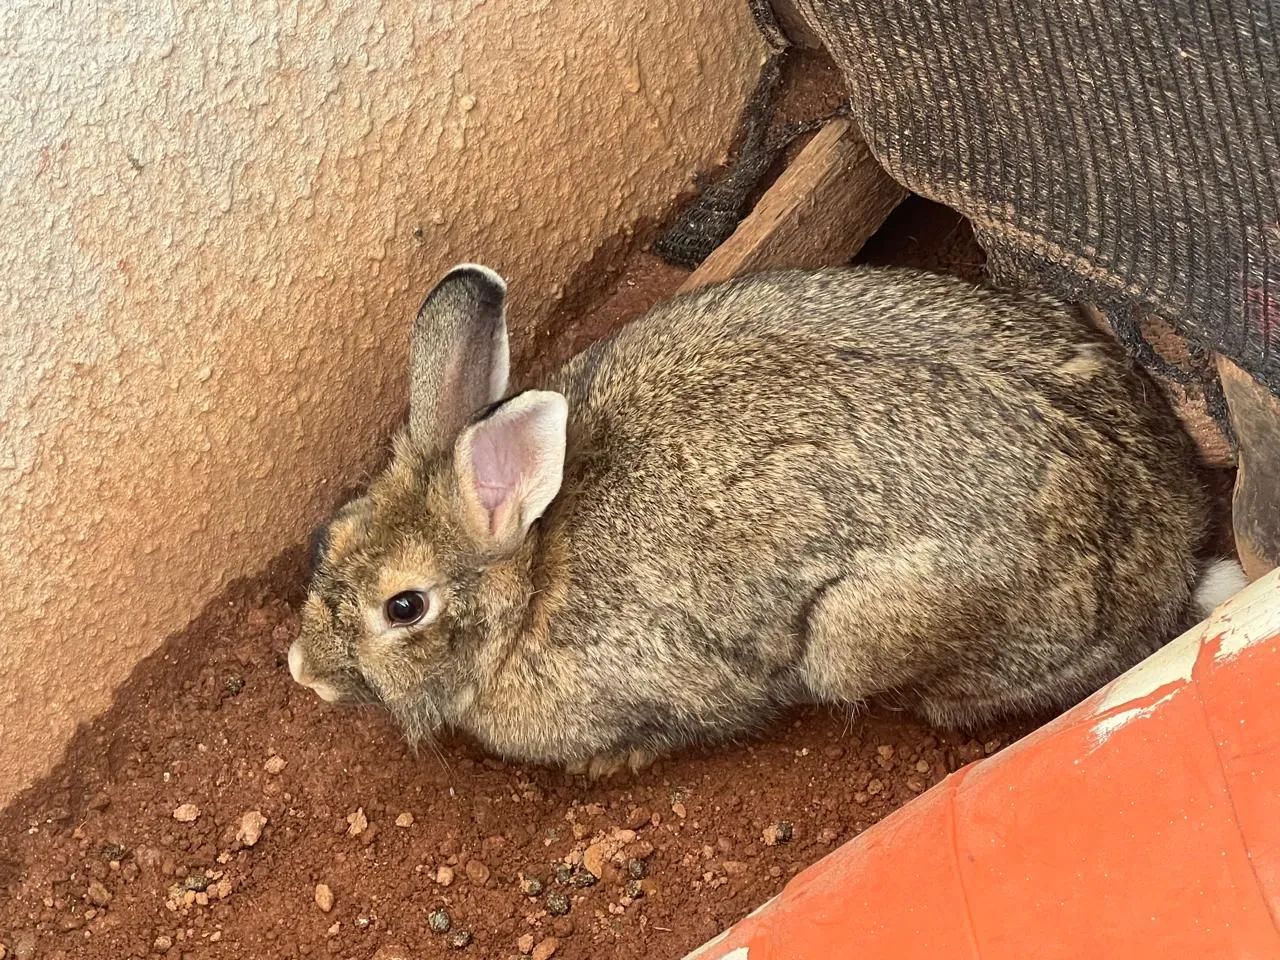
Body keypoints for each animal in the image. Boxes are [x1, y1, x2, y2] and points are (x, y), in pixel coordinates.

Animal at [289, 262, 1245, 777]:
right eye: (333, 533)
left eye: (403, 608)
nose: (302, 672)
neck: (528, 581)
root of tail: (1172, 556)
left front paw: (610, 760)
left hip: (861, 635)